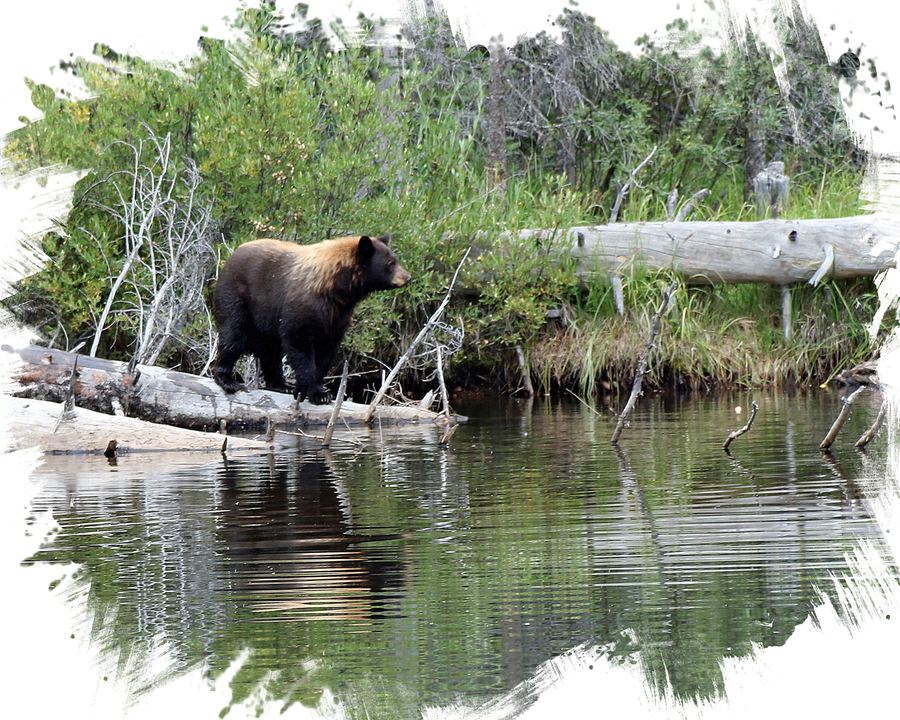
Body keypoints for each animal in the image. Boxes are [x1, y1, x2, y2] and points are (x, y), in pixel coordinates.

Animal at [213, 232, 411, 404]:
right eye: (390, 263)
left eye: (395, 260)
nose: (408, 277)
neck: (336, 289)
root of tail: (233, 254)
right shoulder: (304, 305)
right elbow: (299, 342)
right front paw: (311, 392)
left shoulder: (337, 315)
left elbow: (326, 349)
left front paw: (320, 391)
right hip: (235, 296)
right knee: (233, 335)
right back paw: (226, 379)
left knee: (271, 349)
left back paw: (280, 384)